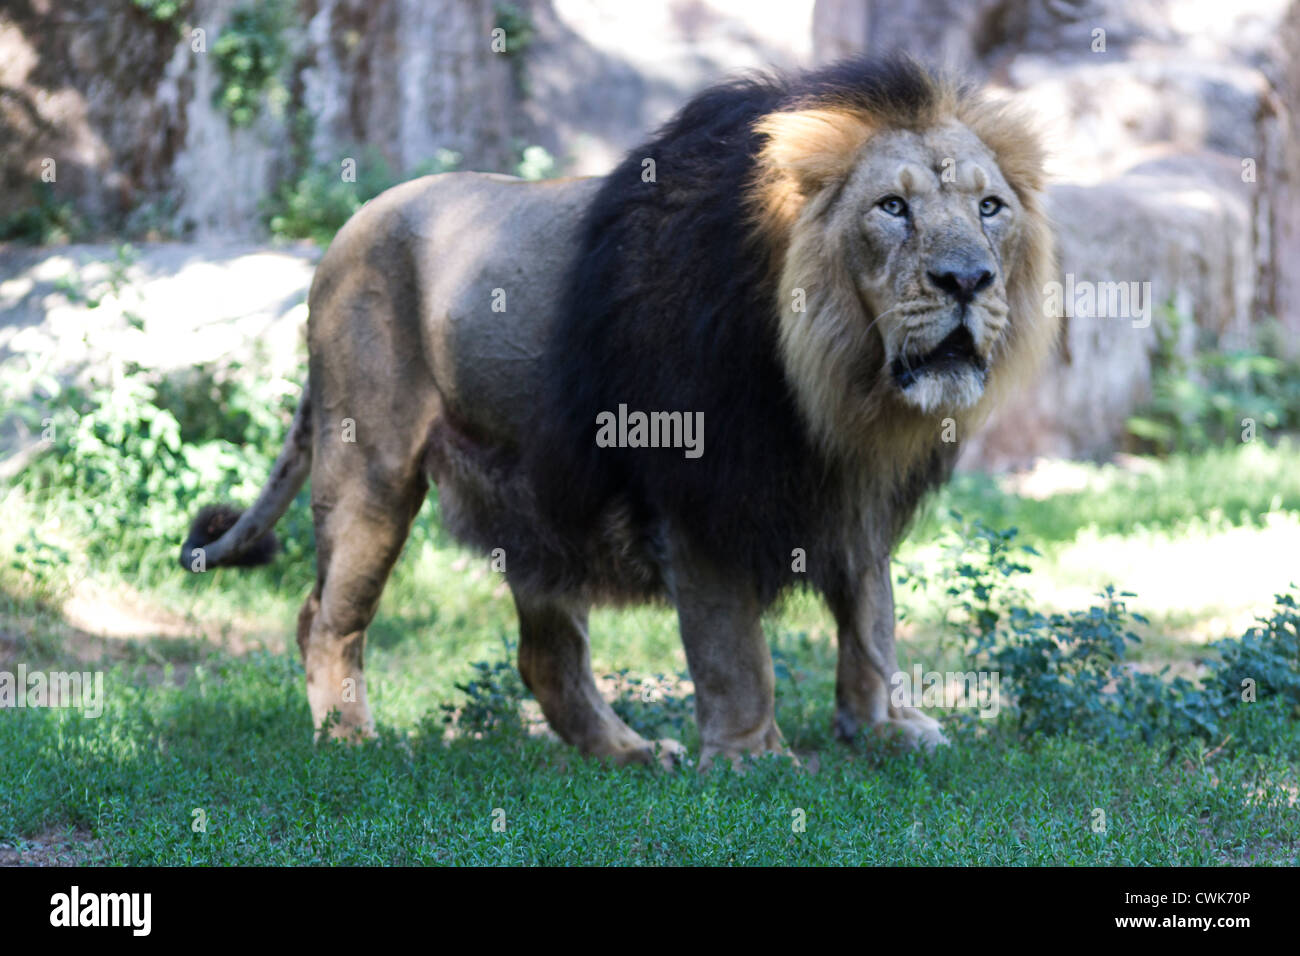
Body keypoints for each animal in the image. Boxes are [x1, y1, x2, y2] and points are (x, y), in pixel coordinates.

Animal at [180, 56, 1057, 769]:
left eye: (989, 208)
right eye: (891, 209)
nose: (968, 280)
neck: (838, 386)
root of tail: (345, 230)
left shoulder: (856, 493)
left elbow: (873, 617)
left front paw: (883, 728)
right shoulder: (699, 491)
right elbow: (734, 647)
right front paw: (753, 758)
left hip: (529, 500)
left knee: (546, 657)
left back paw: (626, 752)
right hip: (371, 468)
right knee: (324, 616)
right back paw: (350, 737)